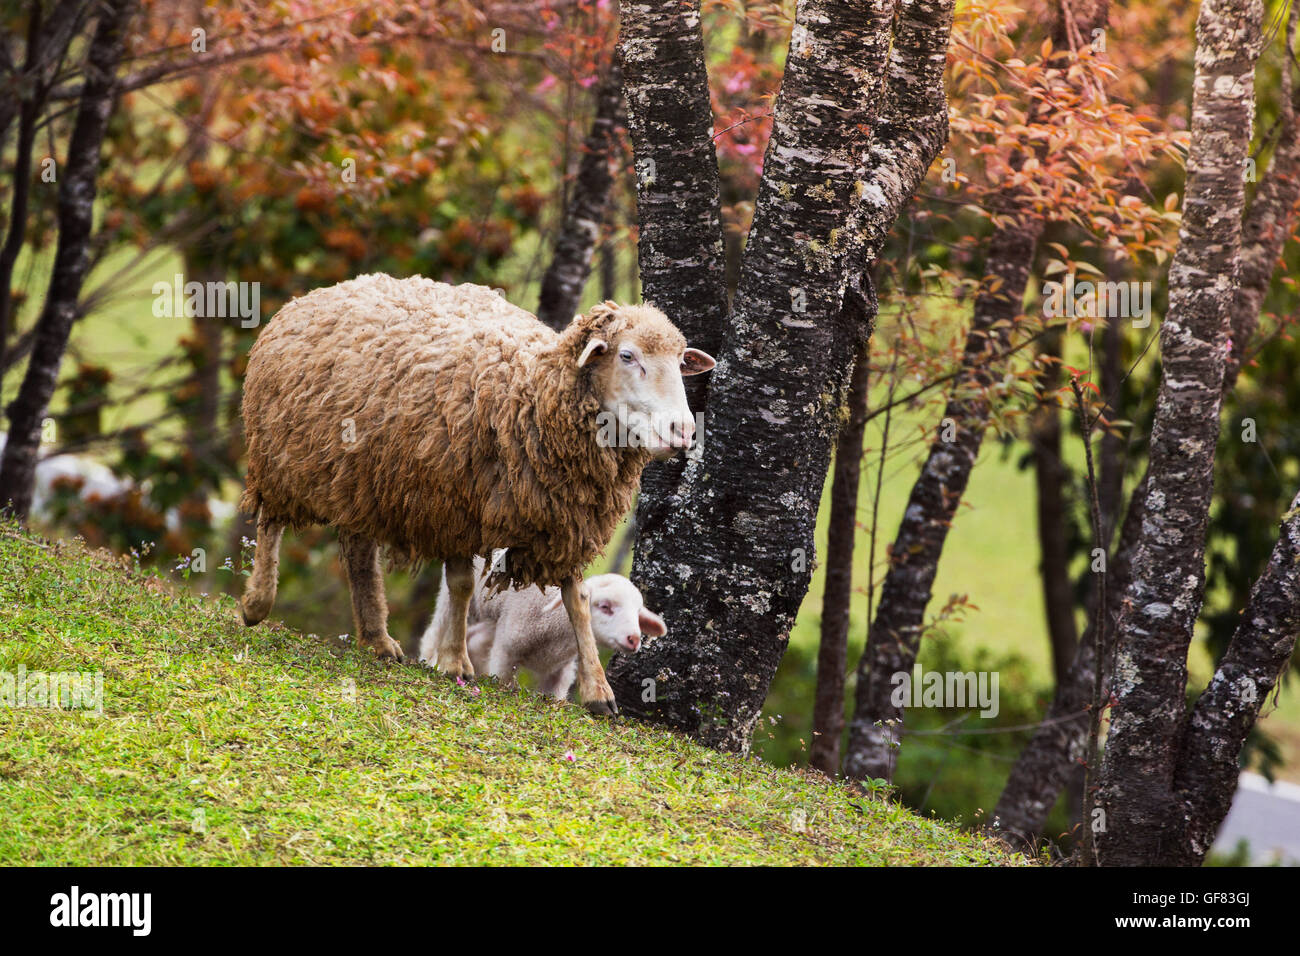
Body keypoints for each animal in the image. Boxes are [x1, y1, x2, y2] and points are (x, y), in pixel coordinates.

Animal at [418, 554, 667, 698]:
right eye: (605, 606)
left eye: (637, 613)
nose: (634, 639)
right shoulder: (507, 652)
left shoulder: (560, 674)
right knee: (437, 628)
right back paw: (431, 660)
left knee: (476, 638)